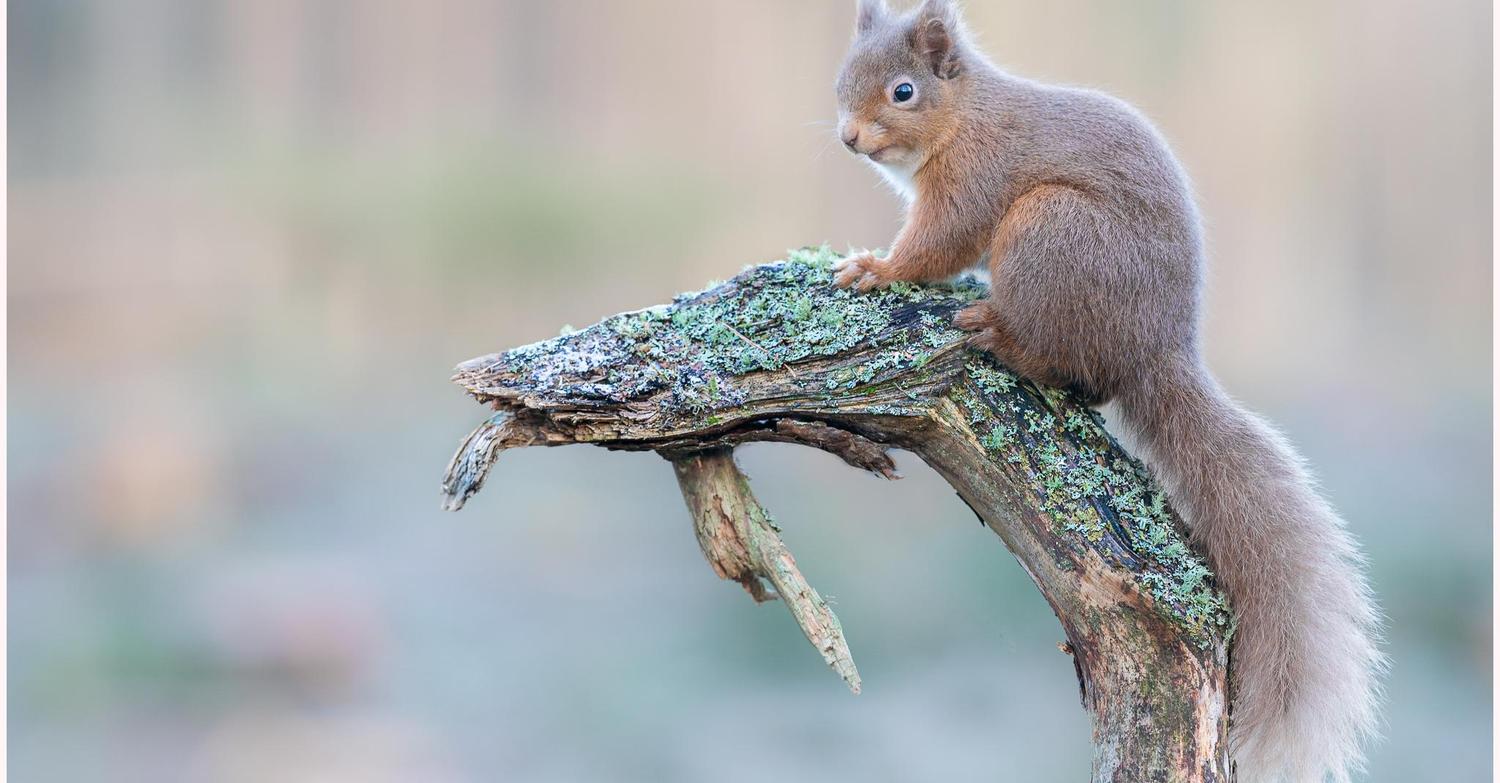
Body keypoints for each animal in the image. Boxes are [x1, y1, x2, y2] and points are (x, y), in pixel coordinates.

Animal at [830, 2, 1383, 781]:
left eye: (903, 92)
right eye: (841, 80)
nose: (848, 137)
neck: (965, 116)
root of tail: (1154, 351)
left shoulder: (973, 182)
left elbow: (937, 245)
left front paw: (875, 268)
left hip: (1048, 231)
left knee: (1052, 355)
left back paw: (997, 332)